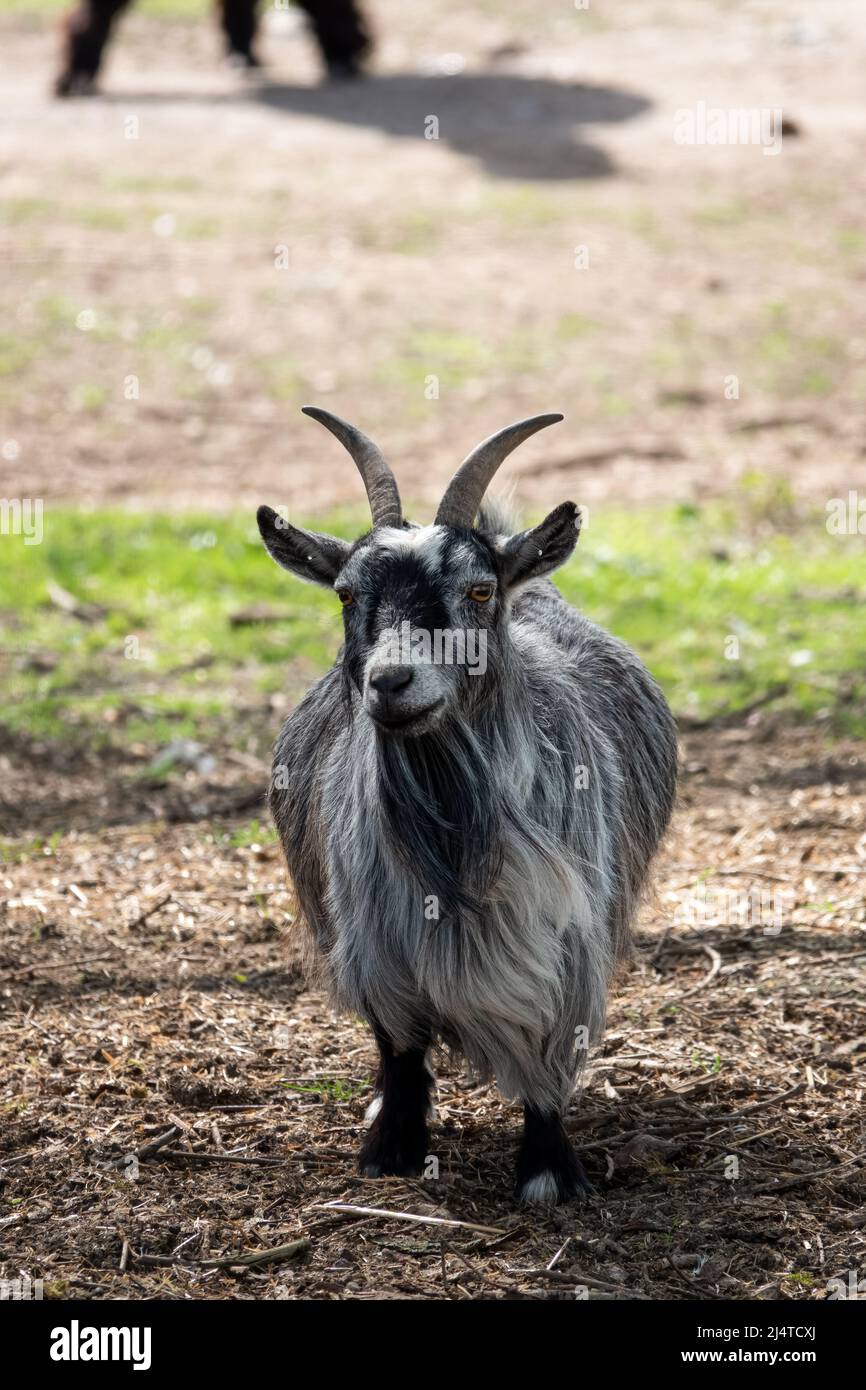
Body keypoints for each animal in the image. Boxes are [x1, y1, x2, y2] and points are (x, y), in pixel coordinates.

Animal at [257, 408, 677, 1203]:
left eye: (479, 591)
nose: (391, 681)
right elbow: (399, 1046)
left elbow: (547, 1048)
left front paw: (548, 1169)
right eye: (346, 594)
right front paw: (392, 1145)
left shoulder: (567, 940)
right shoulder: (376, 940)